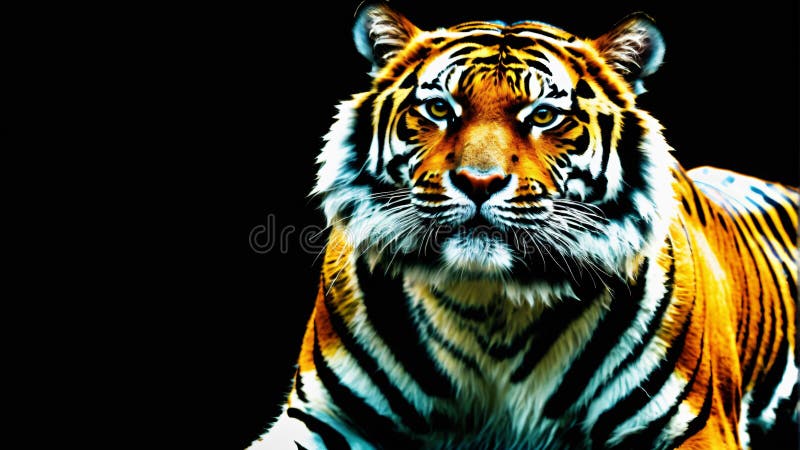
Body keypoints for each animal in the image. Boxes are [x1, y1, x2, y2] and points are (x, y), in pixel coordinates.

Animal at [249, 3, 799, 449]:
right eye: (439, 108)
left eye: (544, 116)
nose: (480, 181)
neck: (487, 304)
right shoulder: (325, 415)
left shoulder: (693, 427)